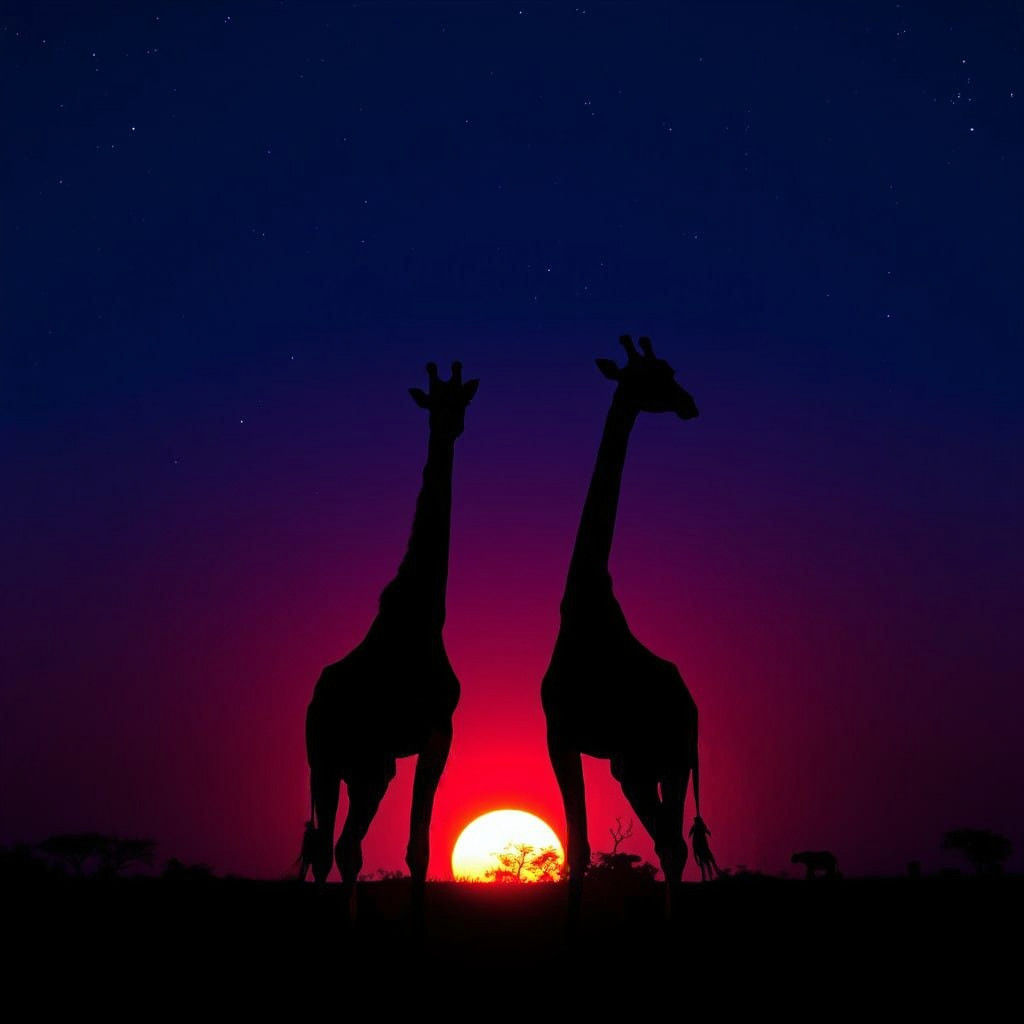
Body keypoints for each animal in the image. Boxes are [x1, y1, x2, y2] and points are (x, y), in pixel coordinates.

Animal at [304, 361, 478, 916]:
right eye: (434, 403)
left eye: (461, 401)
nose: (451, 426)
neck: (422, 614)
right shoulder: (435, 733)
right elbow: (414, 848)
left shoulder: (420, 741)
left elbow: (411, 848)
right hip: (339, 763)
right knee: (333, 847)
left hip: (357, 767)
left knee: (336, 846)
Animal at [541, 335, 701, 920]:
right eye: (655, 376)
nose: (688, 404)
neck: (583, 605)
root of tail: (692, 709)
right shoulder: (565, 738)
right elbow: (580, 845)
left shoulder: (567, 737)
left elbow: (580, 845)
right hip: (643, 766)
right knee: (669, 842)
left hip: (662, 760)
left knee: (673, 843)